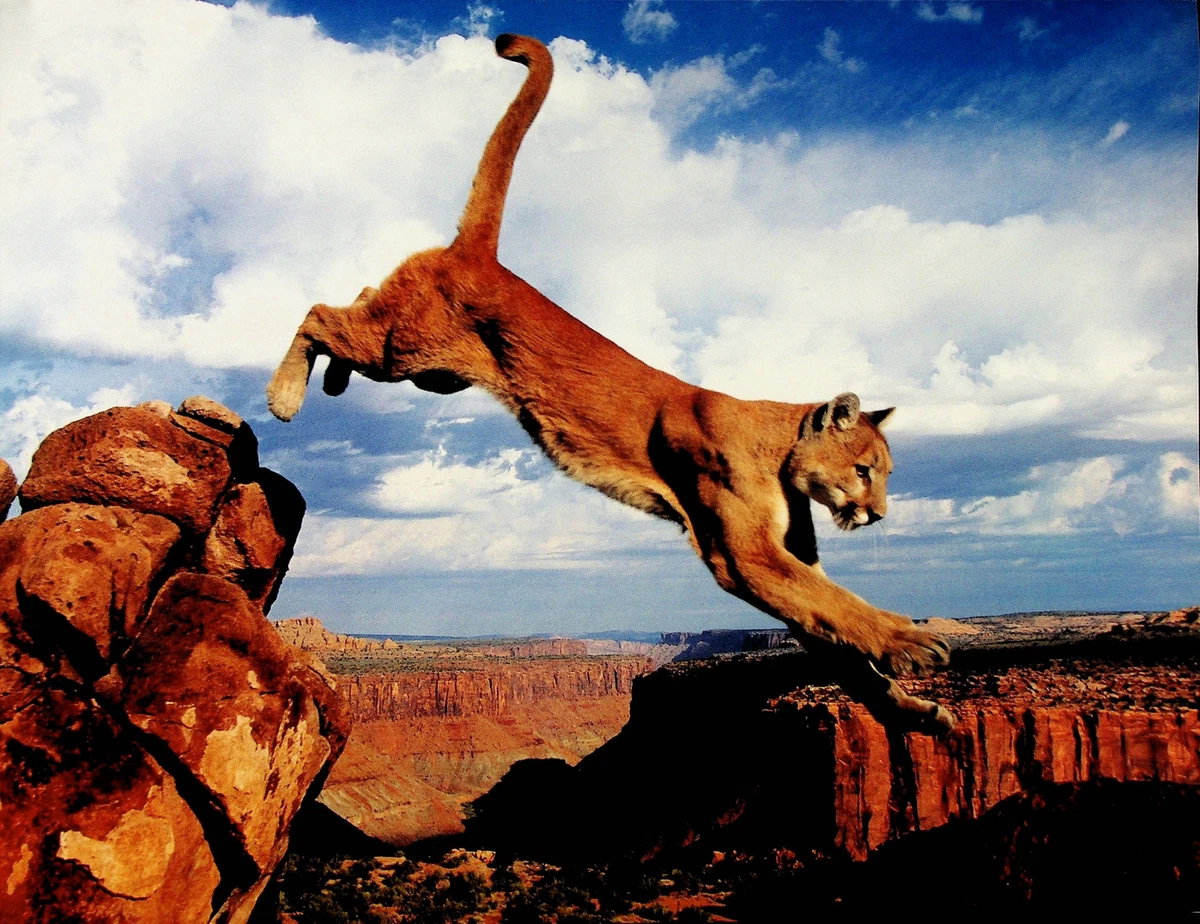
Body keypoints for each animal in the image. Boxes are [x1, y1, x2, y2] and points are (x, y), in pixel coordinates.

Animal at [267, 34, 953, 732]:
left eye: (886, 474)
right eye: (866, 469)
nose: (877, 514)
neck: (778, 451)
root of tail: (479, 256)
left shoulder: (786, 557)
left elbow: (831, 632)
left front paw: (912, 707)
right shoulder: (744, 554)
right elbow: (835, 603)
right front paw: (912, 640)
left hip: (430, 371)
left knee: (358, 297)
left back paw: (333, 382)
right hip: (404, 350)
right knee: (320, 312)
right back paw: (286, 397)